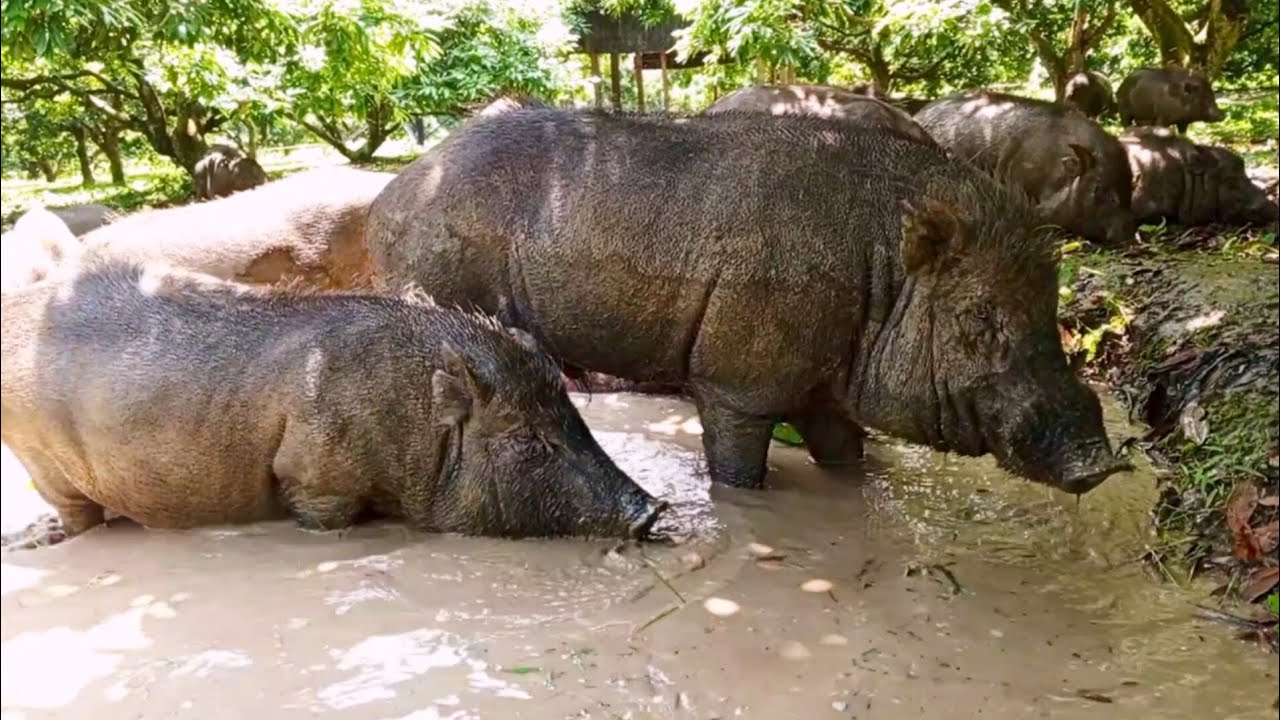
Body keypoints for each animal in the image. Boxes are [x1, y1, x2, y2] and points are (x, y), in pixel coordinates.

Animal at [0, 257, 667, 541]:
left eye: (576, 417)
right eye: (528, 437)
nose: (653, 509)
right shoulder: (315, 477)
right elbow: (328, 518)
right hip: (37, 453)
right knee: (76, 511)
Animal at [364, 108, 1131, 493]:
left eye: (1049, 315)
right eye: (978, 320)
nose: (1102, 462)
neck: (878, 273)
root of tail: (393, 193)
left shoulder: (826, 389)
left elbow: (845, 453)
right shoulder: (736, 379)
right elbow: (738, 464)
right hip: (431, 276)